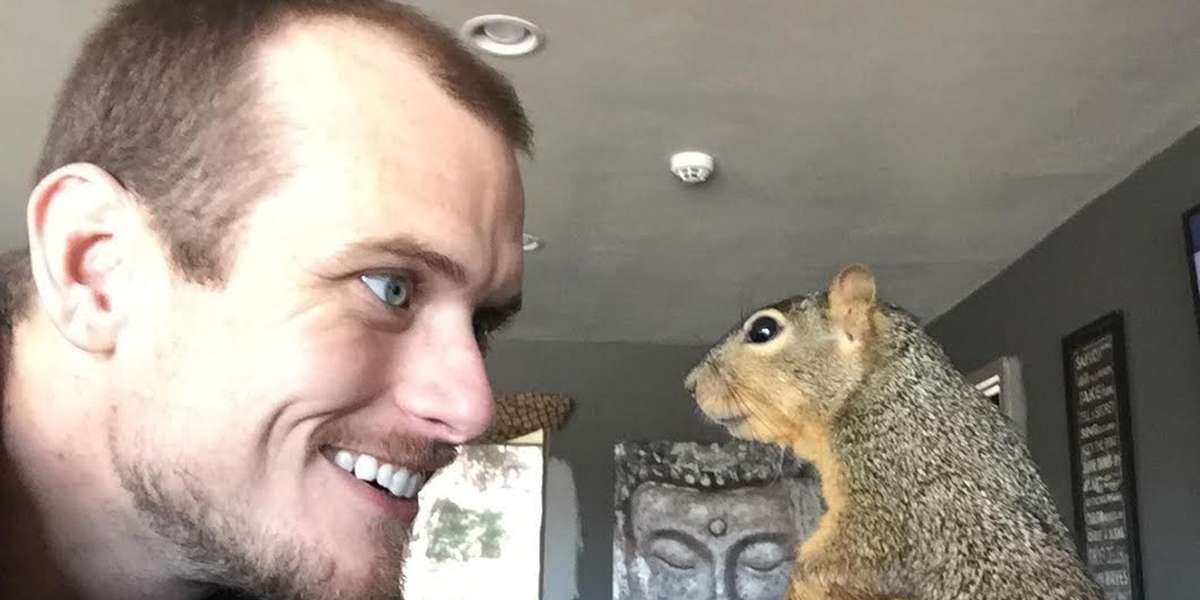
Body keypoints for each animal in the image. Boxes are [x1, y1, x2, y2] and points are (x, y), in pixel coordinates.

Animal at [684, 264, 1102, 600]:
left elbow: (853, 555)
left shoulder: (896, 486)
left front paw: (799, 584)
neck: (877, 389)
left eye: (763, 330)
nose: (690, 384)